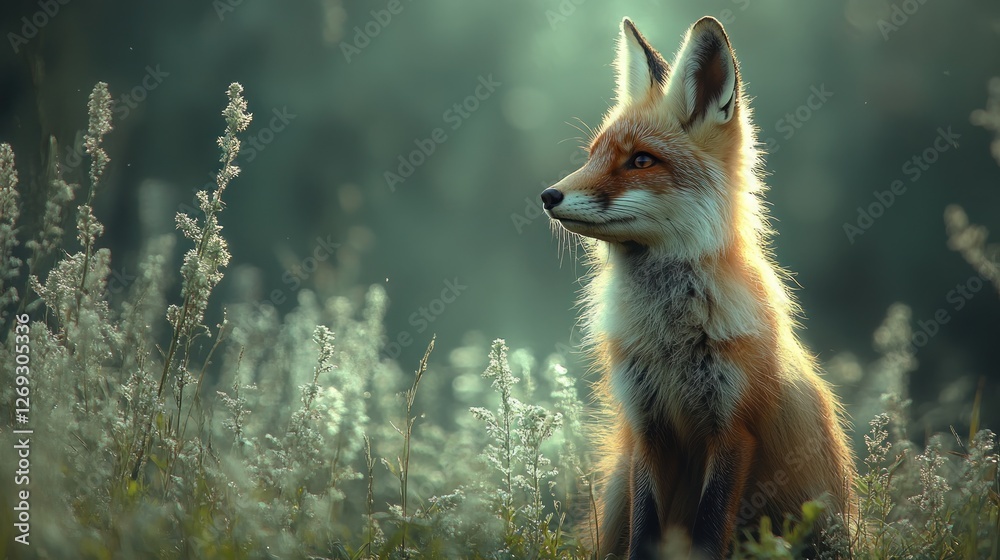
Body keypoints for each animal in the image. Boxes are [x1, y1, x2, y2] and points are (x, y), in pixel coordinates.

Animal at [540, 16, 857, 559]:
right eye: (592, 155)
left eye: (641, 161)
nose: (547, 195)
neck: (671, 341)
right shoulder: (647, 431)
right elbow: (644, 534)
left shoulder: (733, 430)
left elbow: (708, 534)